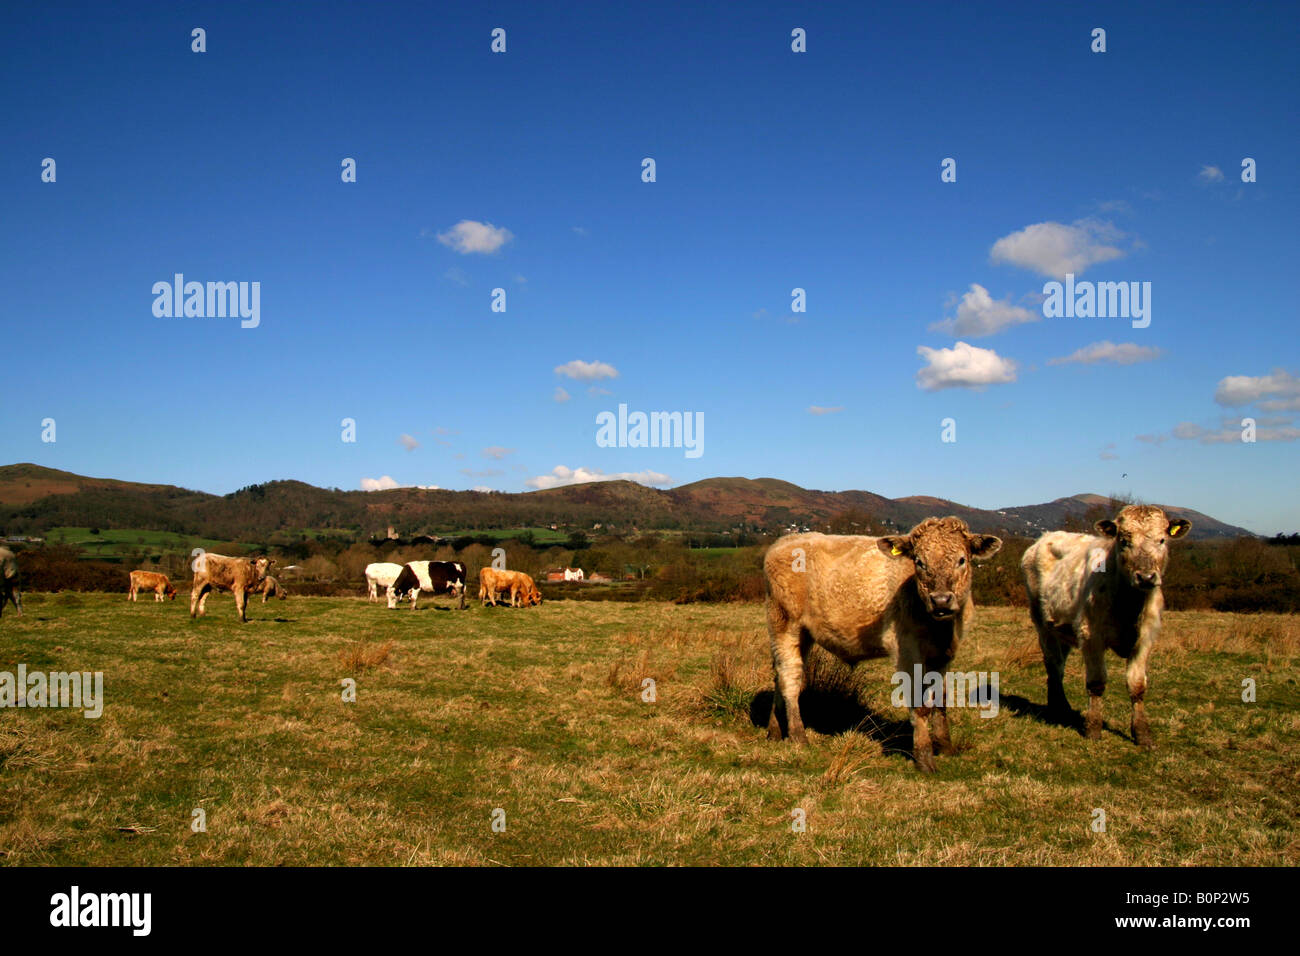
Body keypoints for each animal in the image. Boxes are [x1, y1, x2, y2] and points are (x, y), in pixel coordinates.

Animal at [763, 517, 1002, 773]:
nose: (941, 600)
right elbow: (919, 703)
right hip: (785, 624)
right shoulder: (907, 649)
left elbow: (941, 699)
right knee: (790, 678)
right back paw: (798, 736)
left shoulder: (944, 654)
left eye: (962, 560)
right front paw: (925, 758)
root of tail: (785, 541)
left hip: (802, 635)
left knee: (780, 674)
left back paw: (774, 730)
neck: (941, 629)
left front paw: (946, 747)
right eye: (919, 561)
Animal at [1022, 504, 1191, 748]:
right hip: (1042, 624)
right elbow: (1096, 682)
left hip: (1064, 628)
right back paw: (1058, 708)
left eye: (1162, 540)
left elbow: (1137, 685)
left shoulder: (1146, 639)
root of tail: (1046, 536)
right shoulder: (1091, 635)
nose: (1146, 577)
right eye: (1124, 540)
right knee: (1053, 664)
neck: (1129, 604)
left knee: (1059, 666)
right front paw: (1093, 728)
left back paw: (1062, 707)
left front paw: (1142, 733)